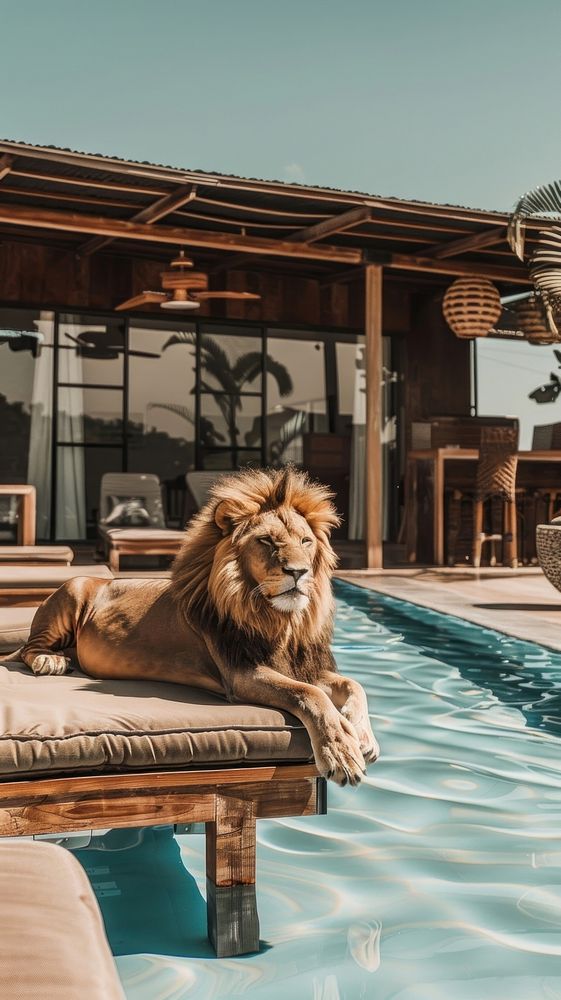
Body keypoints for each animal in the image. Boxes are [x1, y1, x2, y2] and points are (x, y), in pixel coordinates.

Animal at [18, 467, 379, 786]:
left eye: (305, 541)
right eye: (266, 541)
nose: (299, 572)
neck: (280, 621)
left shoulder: (303, 666)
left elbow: (354, 685)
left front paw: (363, 736)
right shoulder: (241, 673)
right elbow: (310, 694)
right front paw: (341, 751)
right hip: (73, 588)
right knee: (27, 649)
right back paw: (50, 661)